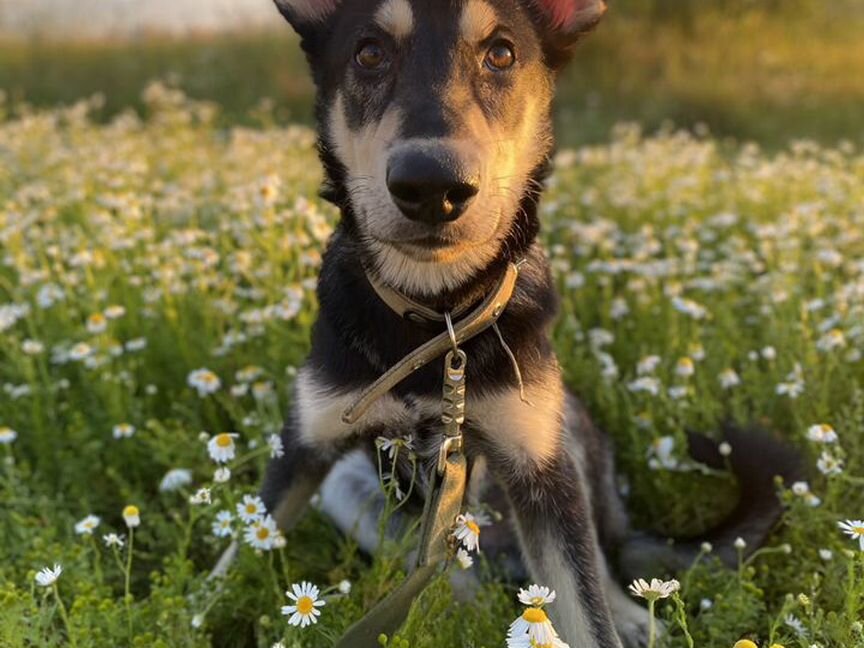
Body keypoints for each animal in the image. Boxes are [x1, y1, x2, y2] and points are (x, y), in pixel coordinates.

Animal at [262, 2, 804, 644]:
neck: (439, 317)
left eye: (501, 54)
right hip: (350, 487)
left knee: (599, 560)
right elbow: (232, 562)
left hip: (567, 437)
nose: (432, 186)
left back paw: (632, 614)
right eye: (369, 53)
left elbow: (586, 612)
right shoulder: (305, 446)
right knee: (440, 568)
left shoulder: (541, 469)